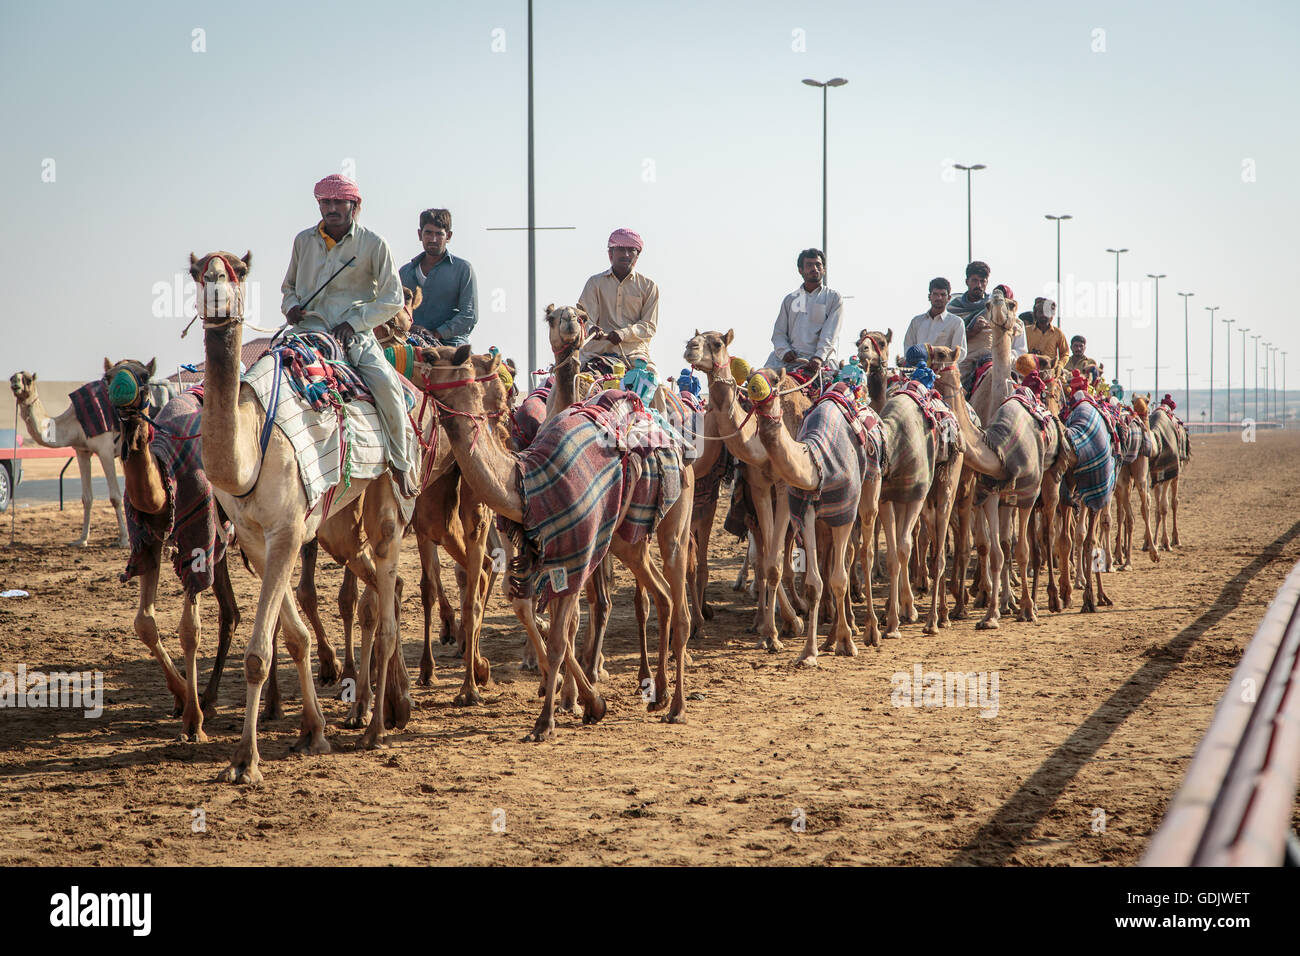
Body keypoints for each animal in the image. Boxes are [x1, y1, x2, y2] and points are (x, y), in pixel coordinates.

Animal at [9, 370, 129, 547]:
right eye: (12, 378)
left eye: (28, 380)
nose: (15, 385)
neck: (75, 421)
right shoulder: (82, 451)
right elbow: (87, 498)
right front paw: (82, 539)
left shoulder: (105, 449)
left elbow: (115, 497)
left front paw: (124, 540)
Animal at [191, 250, 409, 785]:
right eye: (198, 271)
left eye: (237, 270)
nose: (216, 288)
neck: (249, 451)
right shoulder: (256, 538)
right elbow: (293, 637)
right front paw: (313, 732)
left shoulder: (287, 532)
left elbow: (257, 655)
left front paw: (245, 760)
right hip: (335, 525)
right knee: (379, 587)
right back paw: (380, 708)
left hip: (384, 494)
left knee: (387, 599)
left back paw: (377, 729)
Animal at [423, 344, 695, 737]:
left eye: (439, 356)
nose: (416, 357)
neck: (526, 483)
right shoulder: (537, 549)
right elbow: (543, 620)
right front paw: (591, 702)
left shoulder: (575, 554)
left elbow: (559, 637)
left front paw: (547, 719)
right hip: (626, 540)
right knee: (661, 596)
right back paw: (657, 694)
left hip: (674, 519)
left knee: (679, 602)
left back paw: (677, 707)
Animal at [683, 330, 809, 651]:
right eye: (695, 338)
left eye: (717, 343)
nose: (690, 347)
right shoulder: (758, 487)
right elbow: (766, 562)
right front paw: (770, 630)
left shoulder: (783, 487)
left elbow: (775, 562)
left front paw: (786, 627)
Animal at [747, 369, 882, 660]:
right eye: (750, 378)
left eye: (775, 381)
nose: (756, 391)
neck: (817, 462)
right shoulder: (805, 510)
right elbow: (814, 583)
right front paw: (809, 652)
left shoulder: (844, 511)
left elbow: (839, 579)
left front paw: (847, 642)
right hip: (825, 520)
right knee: (839, 557)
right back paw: (831, 638)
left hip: (869, 490)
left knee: (864, 552)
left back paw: (872, 630)